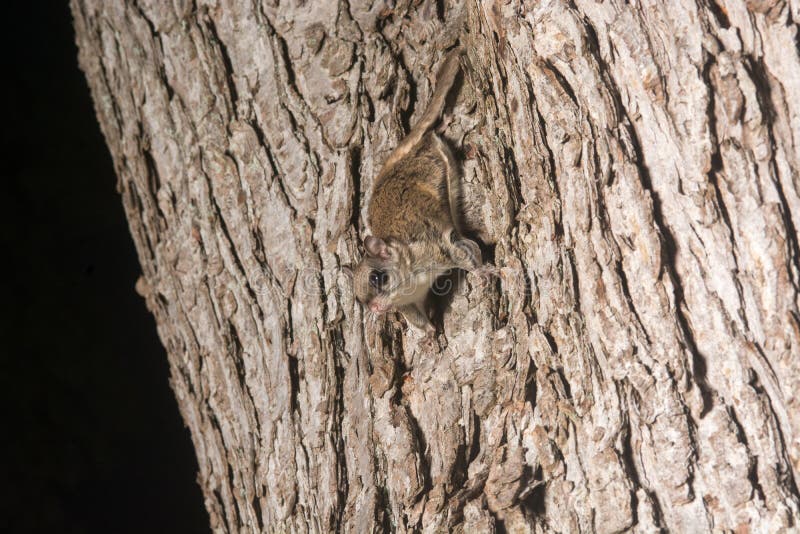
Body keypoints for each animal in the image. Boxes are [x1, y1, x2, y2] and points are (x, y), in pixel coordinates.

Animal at [353, 46, 495, 334]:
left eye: (378, 278)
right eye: (360, 300)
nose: (375, 310)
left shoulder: (437, 248)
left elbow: (464, 256)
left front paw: (482, 272)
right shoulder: (408, 302)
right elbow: (417, 319)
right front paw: (430, 333)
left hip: (441, 165)